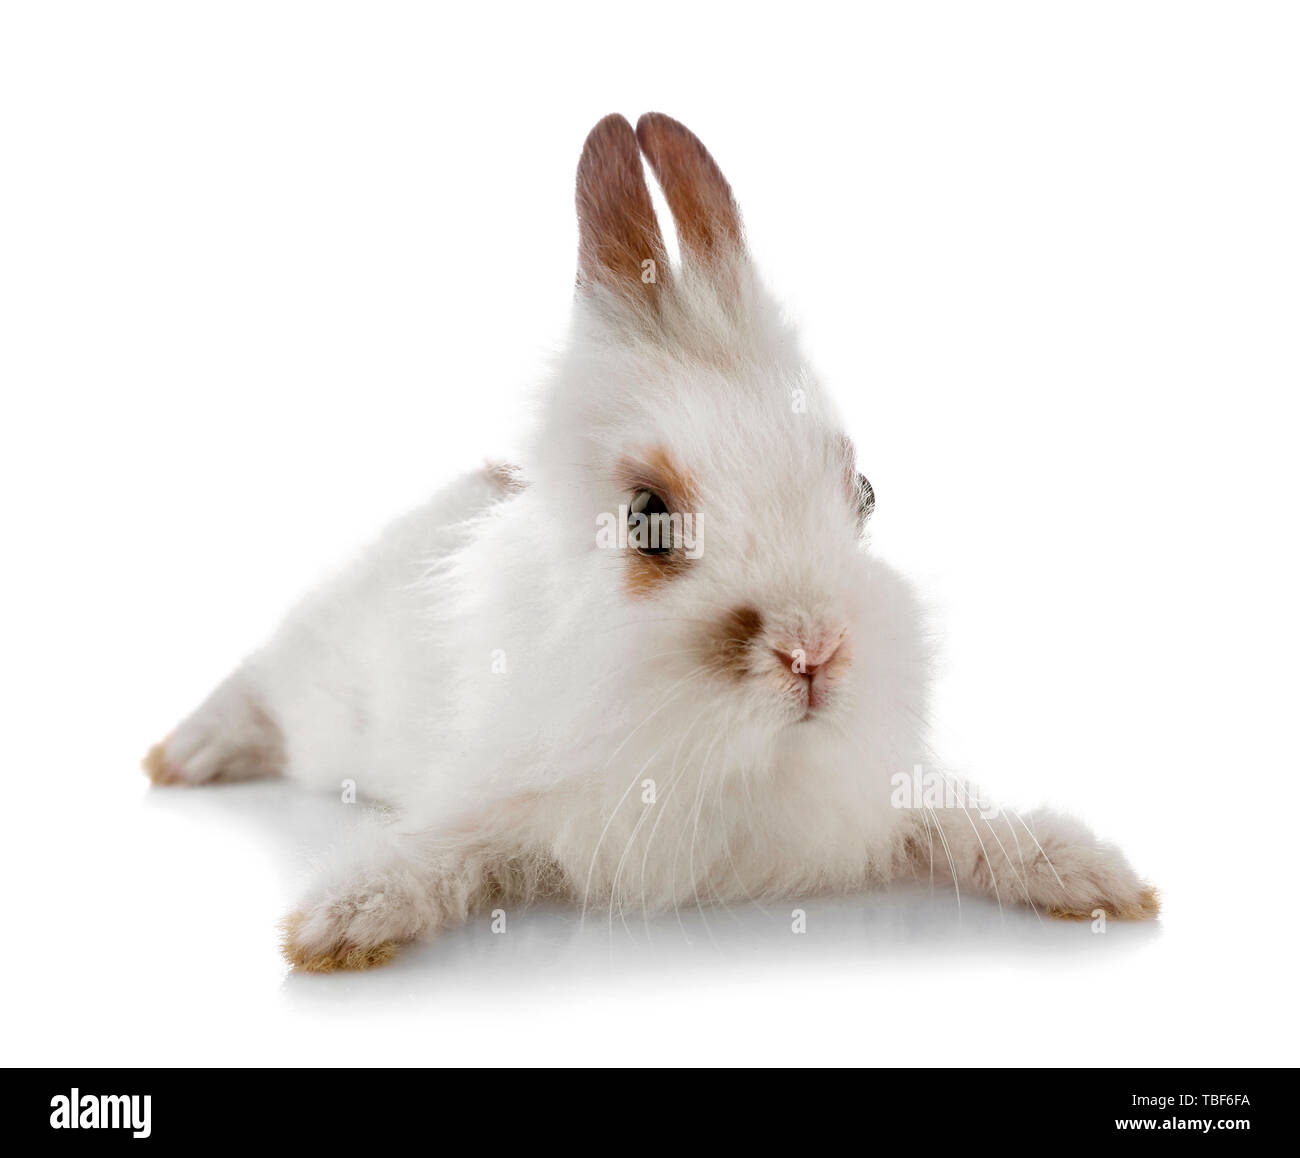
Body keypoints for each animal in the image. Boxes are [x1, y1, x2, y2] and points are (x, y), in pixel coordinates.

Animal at [144, 112, 1158, 971]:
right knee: (252, 692)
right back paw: (180, 759)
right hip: (313, 664)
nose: (816, 650)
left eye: (865, 492)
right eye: (649, 518)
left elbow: (968, 828)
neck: (732, 762)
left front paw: (1095, 878)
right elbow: (437, 849)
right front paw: (338, 923)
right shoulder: (501, 801)